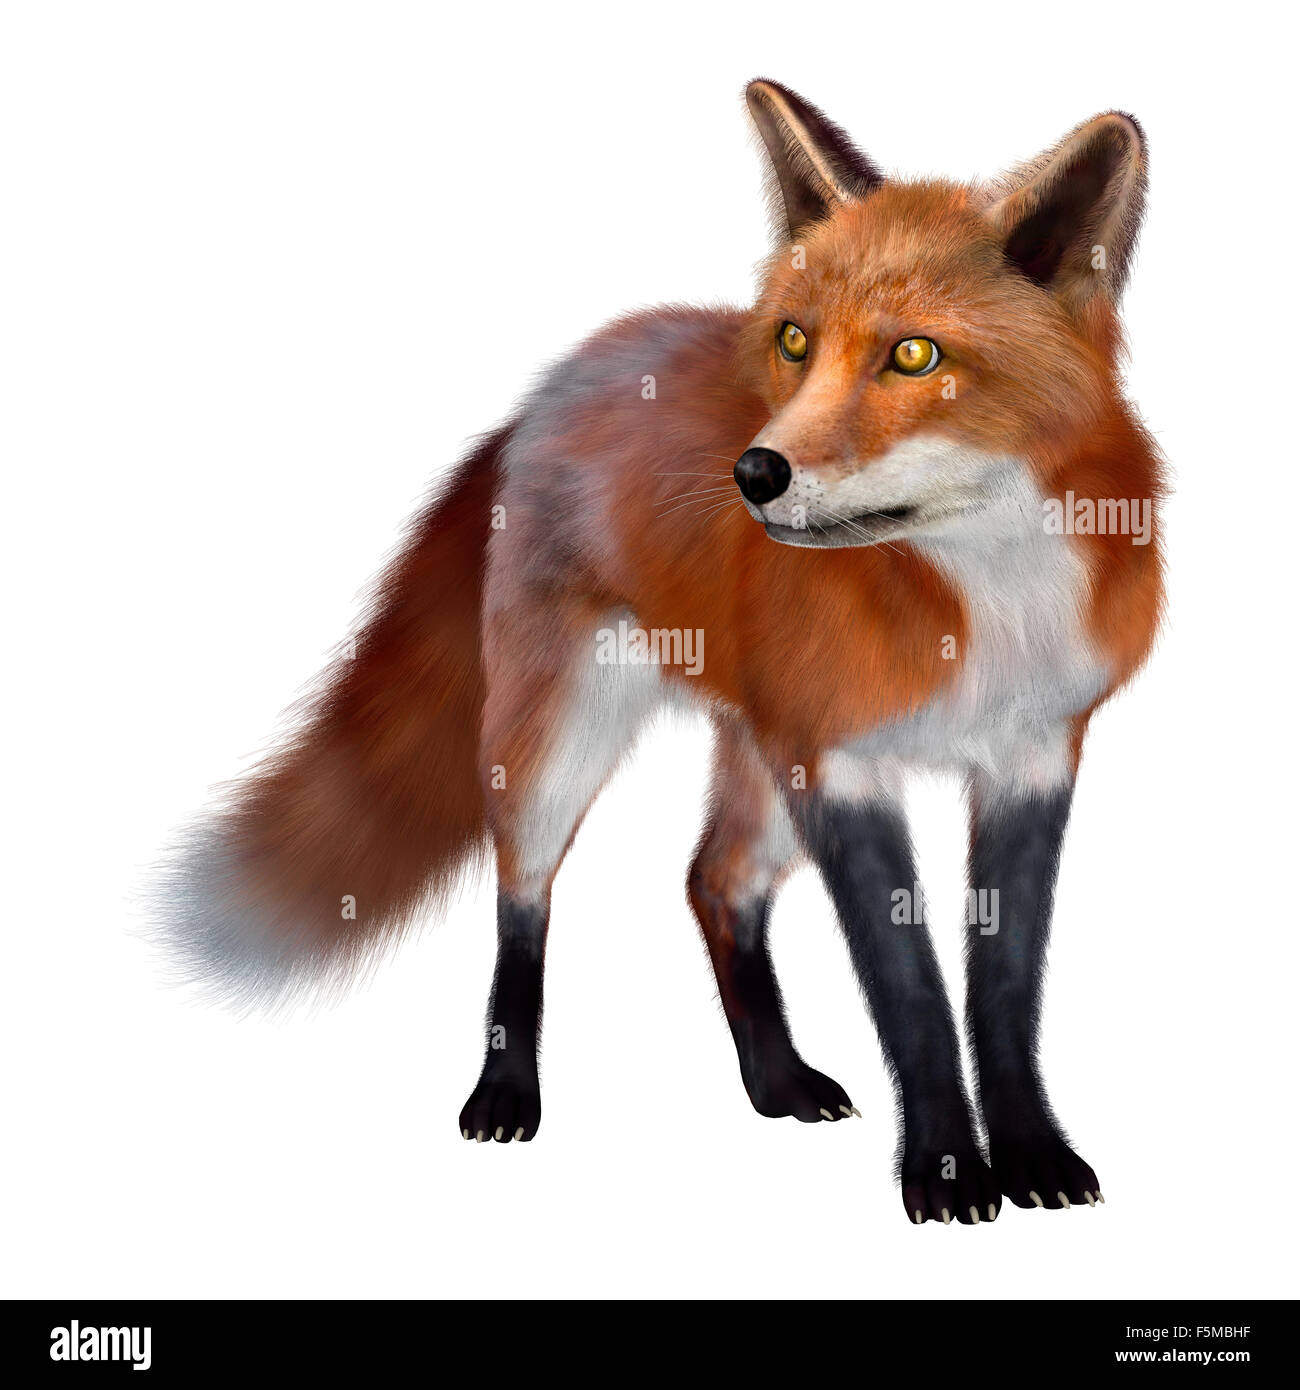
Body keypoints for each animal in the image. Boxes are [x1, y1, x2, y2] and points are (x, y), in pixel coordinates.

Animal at [158, 79, 1164, 1224]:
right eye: (794, 341)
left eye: (914, 354)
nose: (755, 473)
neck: (986, 599)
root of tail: (553, 385)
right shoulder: (843, 767)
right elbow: (910, 988)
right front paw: (947, 1167)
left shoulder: (1030, 757)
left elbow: (1004, 990)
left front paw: (1031, 1152)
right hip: (562, 744)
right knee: (523, 894)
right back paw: (505, 1090)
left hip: (765, 764)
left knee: (711, 880)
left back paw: (774, 1081)